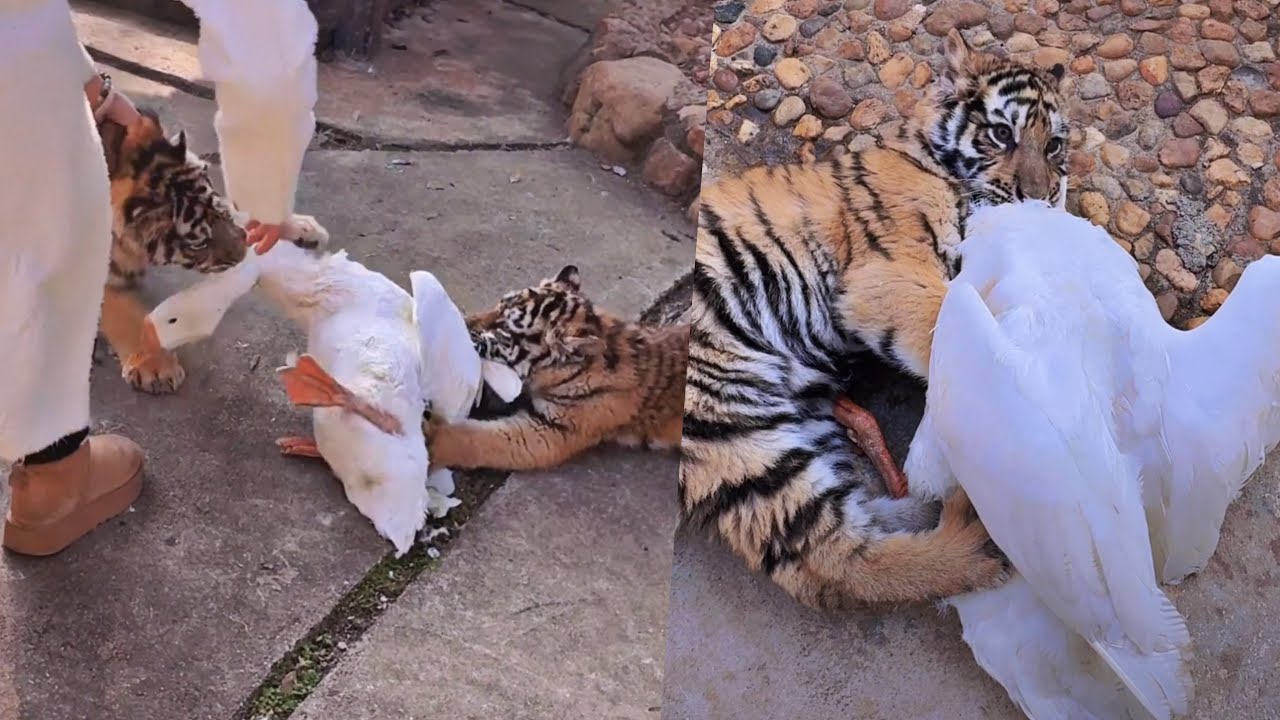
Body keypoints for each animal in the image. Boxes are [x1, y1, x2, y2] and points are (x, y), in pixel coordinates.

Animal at [97, 109, 323, 394]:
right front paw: (156, 367)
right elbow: (127, 316)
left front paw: (300, 228)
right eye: (198, 243)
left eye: (220, 215)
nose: (243, 254)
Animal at [425, 265, 688, 471]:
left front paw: (430, 439)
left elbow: (482, 440)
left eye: (504, 330)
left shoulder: (553, 432)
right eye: (497, 305)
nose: (463, 323)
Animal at [680, 28, 1070, 610]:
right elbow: (950, 324)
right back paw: (977, 539)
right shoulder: (887, 276)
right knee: (841, 564)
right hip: (734, 427)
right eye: (1002, 134)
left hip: (793, 428)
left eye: (1055, 146)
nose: (1040, 199)